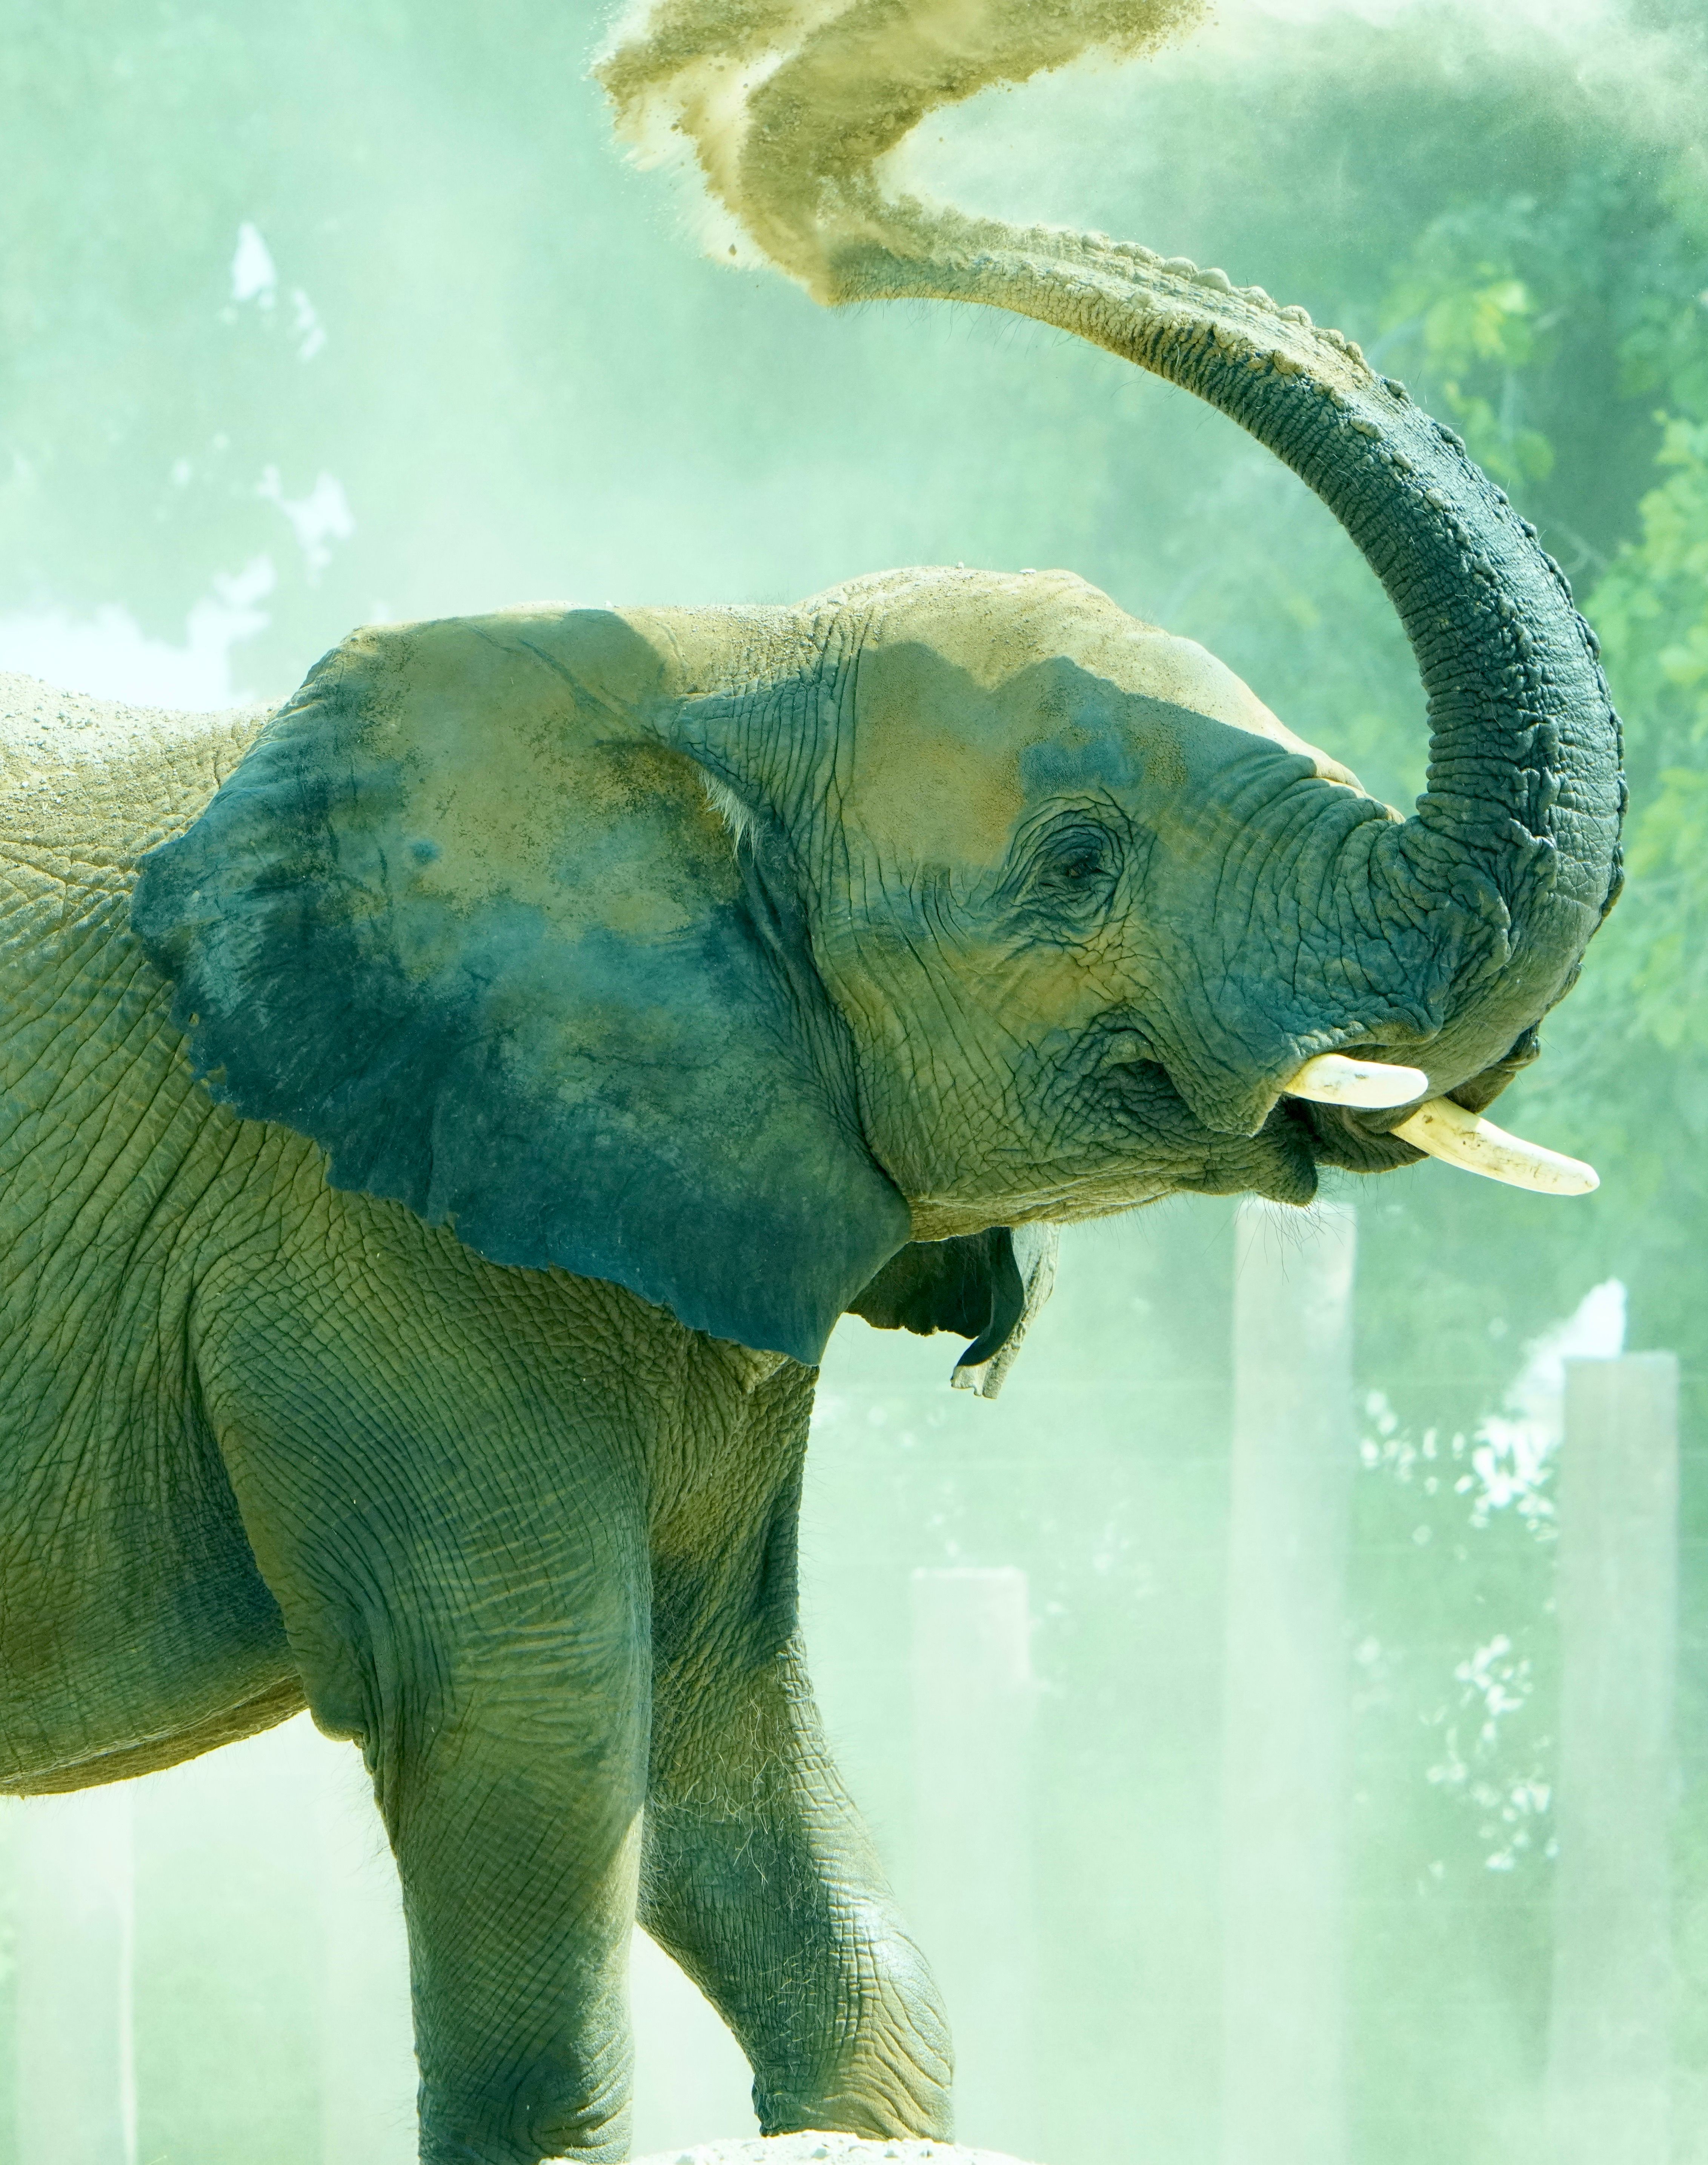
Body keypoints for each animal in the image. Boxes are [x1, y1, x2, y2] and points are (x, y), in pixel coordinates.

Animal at [0, 221, 1618, 2165]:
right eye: (1078, 863)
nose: (839, 223)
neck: (712, 674)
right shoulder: (366, 1229)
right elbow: (535, 1709)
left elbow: (717, 1721)